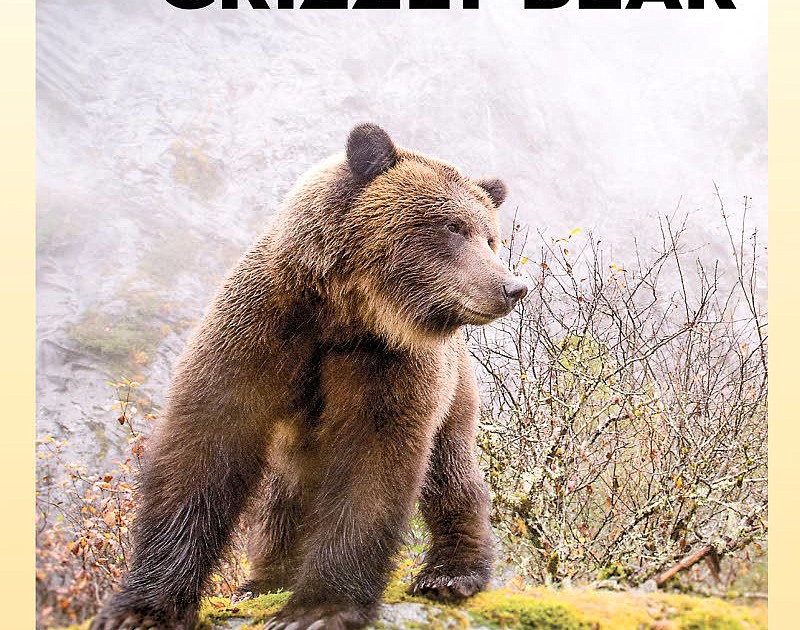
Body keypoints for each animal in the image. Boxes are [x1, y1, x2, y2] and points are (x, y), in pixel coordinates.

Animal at [92, 123, 528, 630]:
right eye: (452, 227)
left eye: (490, 237)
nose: (511, 286)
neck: (344, 313)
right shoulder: (260, 331)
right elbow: (205, 447)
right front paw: (141, 608)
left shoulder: (389, 363)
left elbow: (372, 462)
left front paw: (319, 607)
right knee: (283, 494)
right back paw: (264, 579)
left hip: (455, 389)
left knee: (451, 469)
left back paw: (452, 572)